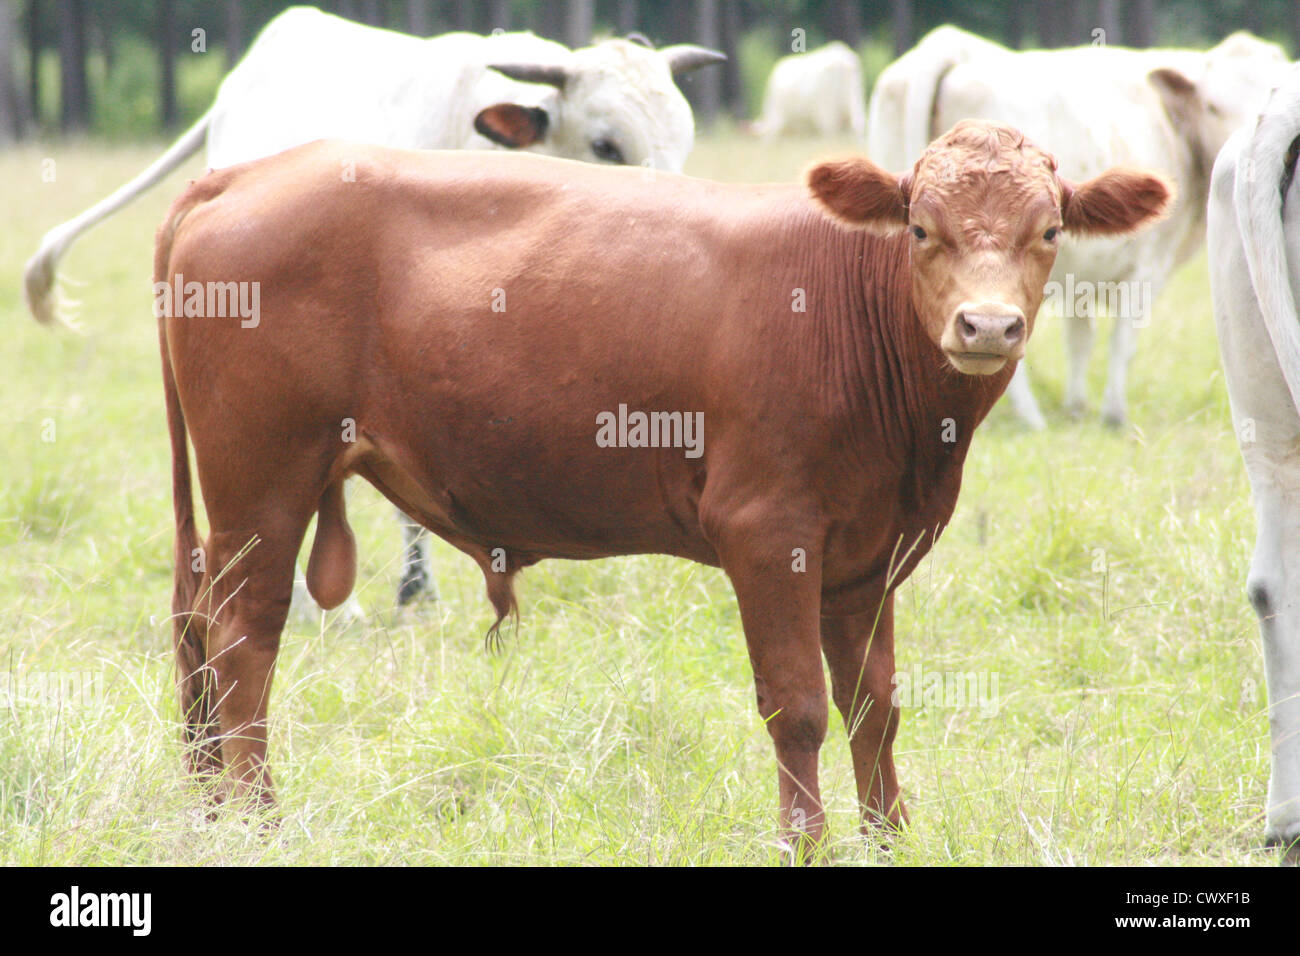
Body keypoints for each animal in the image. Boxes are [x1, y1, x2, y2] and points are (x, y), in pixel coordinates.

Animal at [157, 121, 1175, 858]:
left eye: (1050, 232)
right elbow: (799, 704)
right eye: (922, 229)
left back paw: (206, 810)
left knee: (199, 625)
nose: (987, 324)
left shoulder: (867, 557)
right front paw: (804, 843)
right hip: (263, 485)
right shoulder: (768, 533)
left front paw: (891, 839)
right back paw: (256, 822)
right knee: (243, 639)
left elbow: (875, 706)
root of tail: (245, 173)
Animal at [868, 24, 1284, 429]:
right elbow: (1122, 342)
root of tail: (949, 43)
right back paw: (1030, 418)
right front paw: (1114, 415)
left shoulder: (1079, 274)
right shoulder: (1148, 265)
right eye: (1213, 106)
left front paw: (1077, 407)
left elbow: (1080, 337)